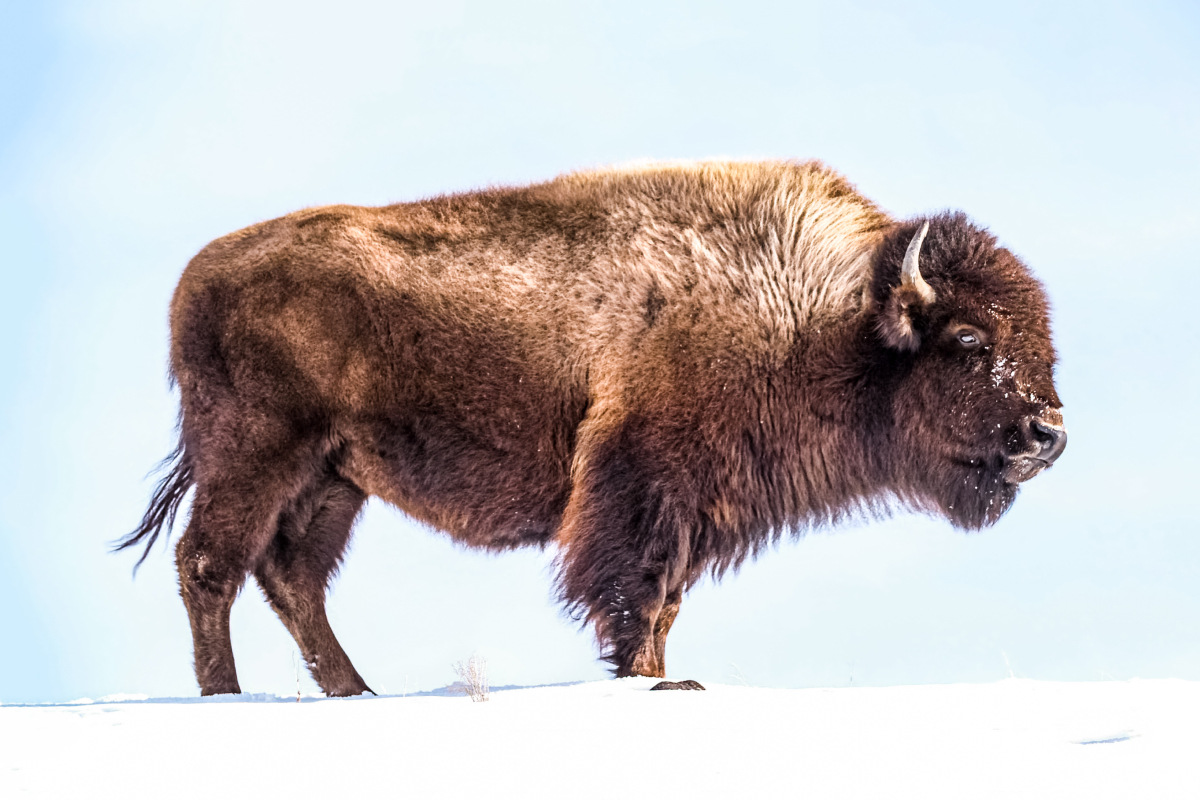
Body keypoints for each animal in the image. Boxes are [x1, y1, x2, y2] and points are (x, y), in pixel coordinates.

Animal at [122, 160, 1066, 696]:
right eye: (969, 338)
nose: (1047, 433)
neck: (827, 319)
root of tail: (195, 277)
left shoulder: (689, 514)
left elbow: (665, 603)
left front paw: (659, 676)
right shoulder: (642, 493)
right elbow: (633, 599)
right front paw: (650, 682)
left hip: (335, 479)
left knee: (291, 578)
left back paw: (357, 694)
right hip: (255, 454)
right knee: (210, 566)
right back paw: (224, 697)